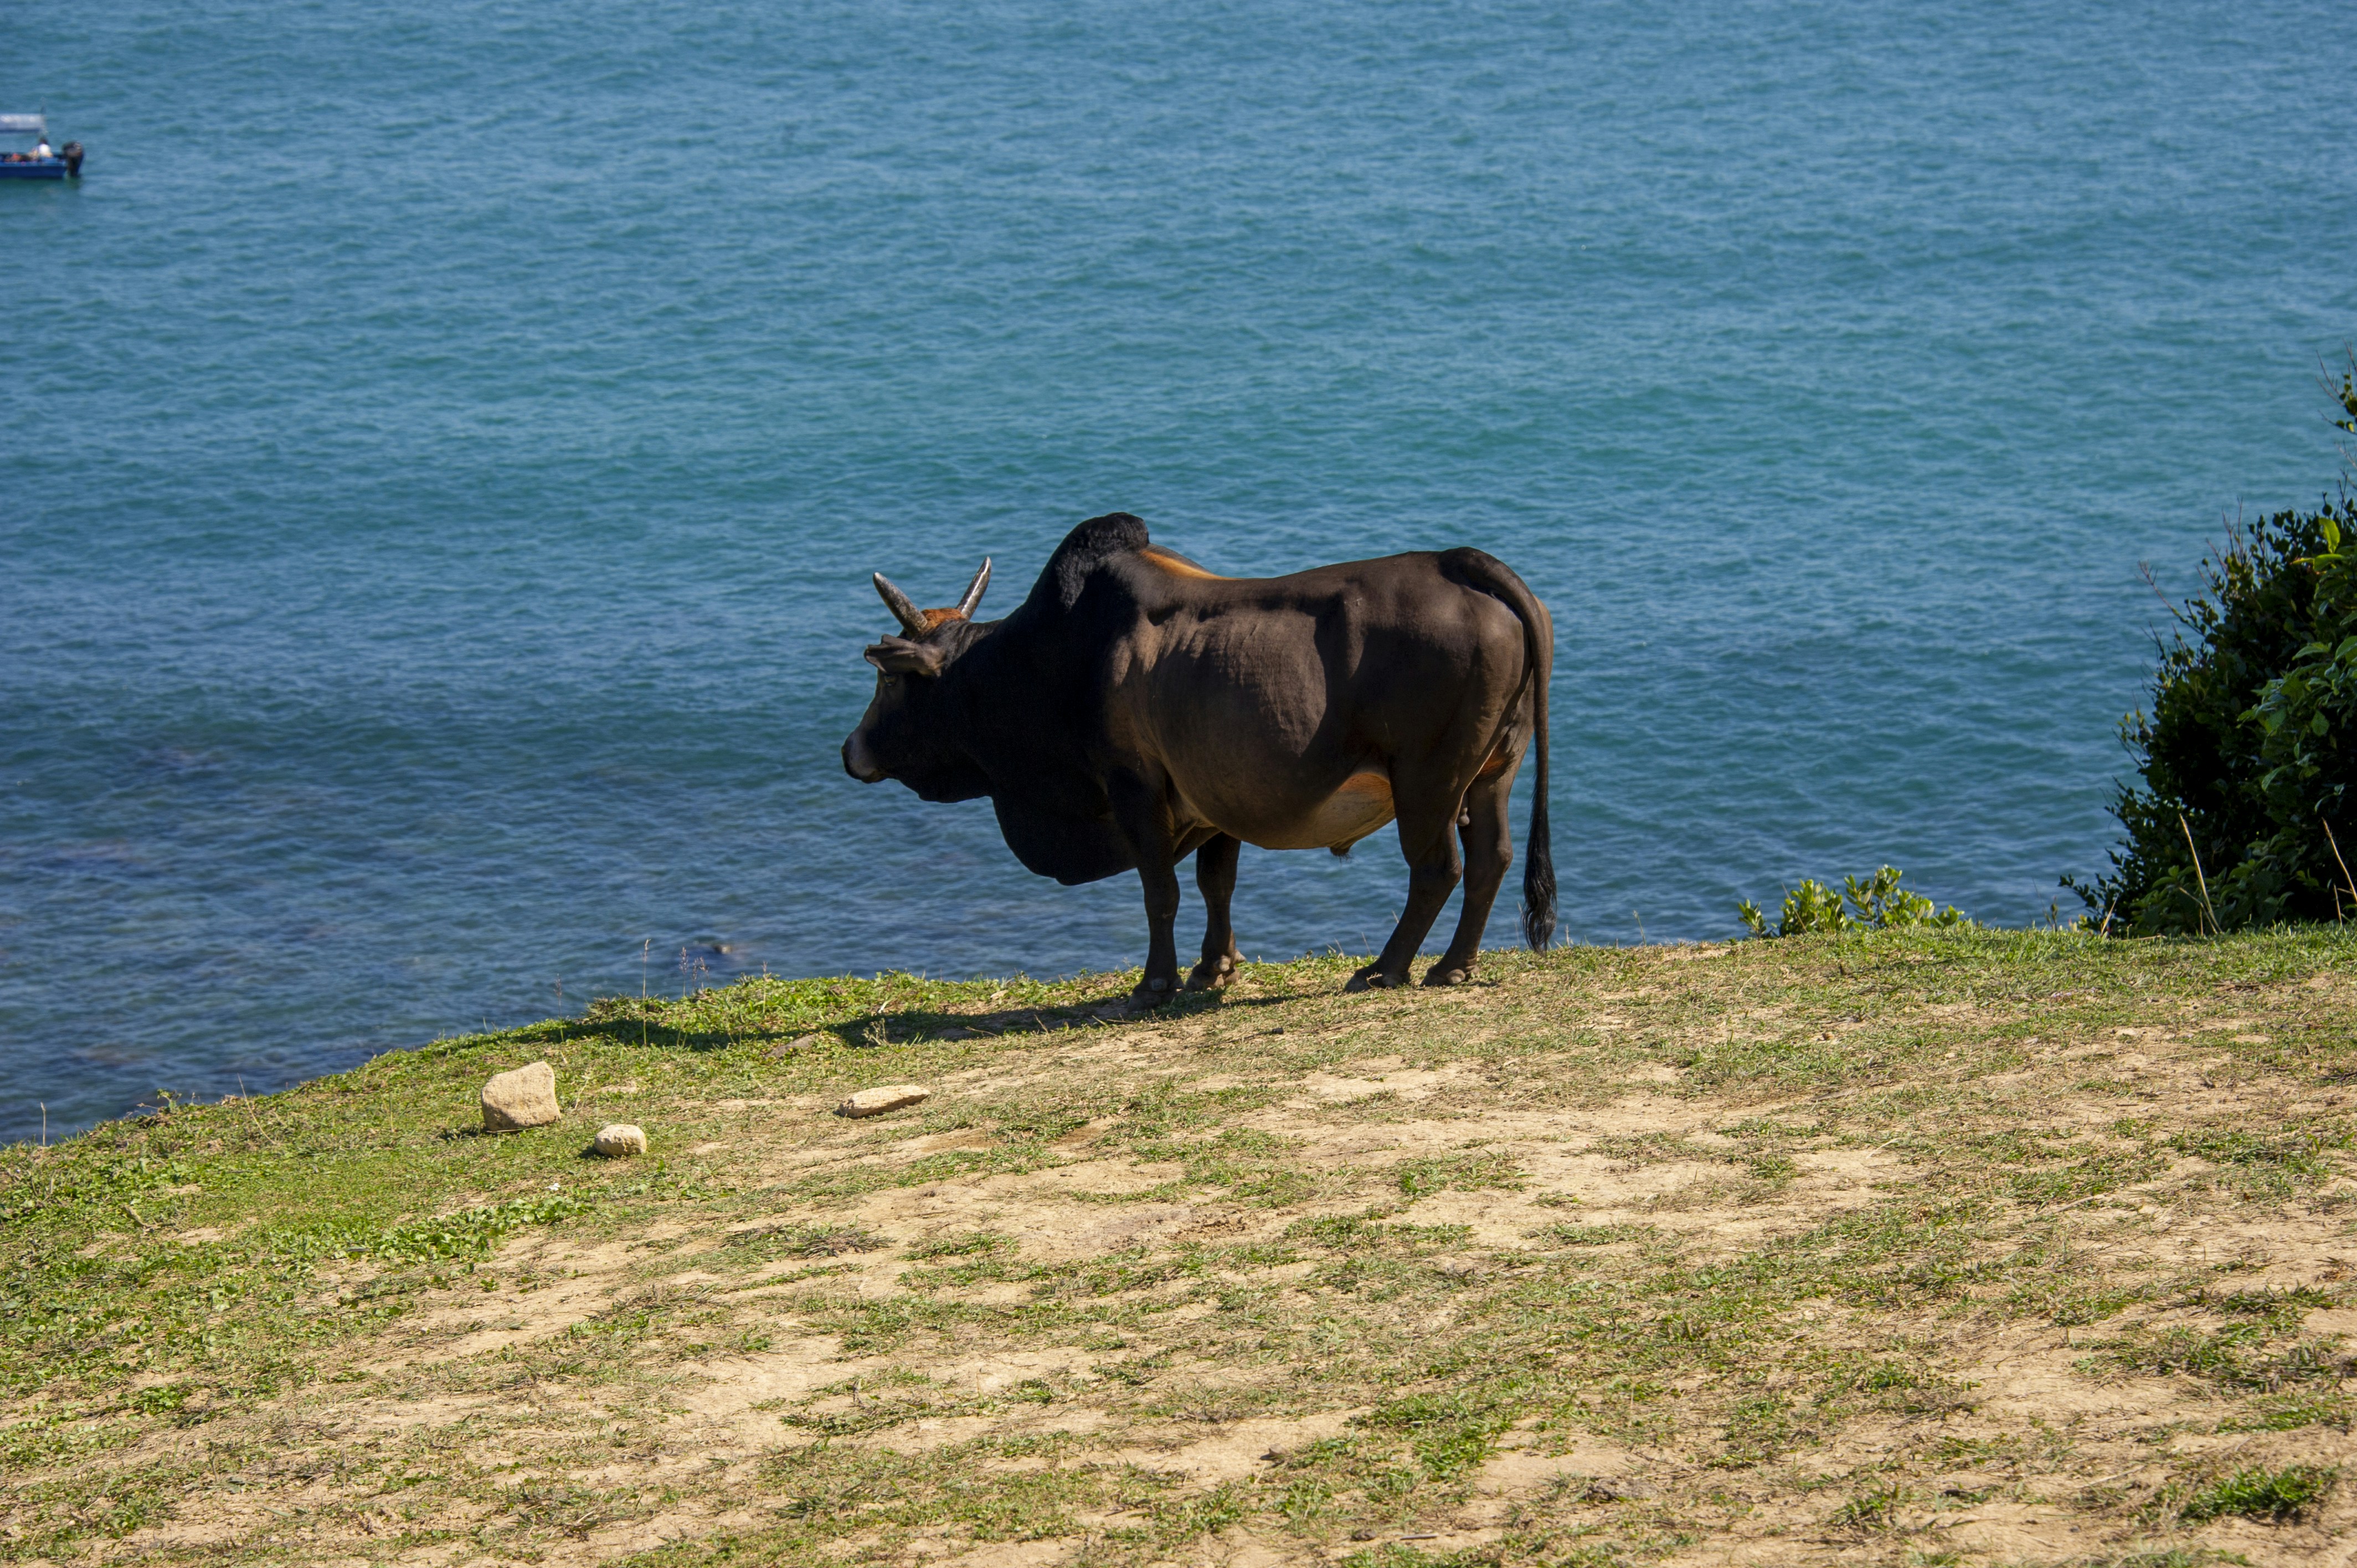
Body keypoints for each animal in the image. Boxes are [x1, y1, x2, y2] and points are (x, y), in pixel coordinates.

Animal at [841, 513, 1555, 998]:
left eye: (889, 683)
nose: (850, 751)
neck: (1046, 658)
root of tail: (1459, 563)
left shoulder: (1132, 785)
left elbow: (1160, 890)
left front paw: (1154, 984)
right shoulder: (1215, 794)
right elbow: (1217, 883)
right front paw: (1213, 968)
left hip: (1427, 779)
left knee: (1437, 868)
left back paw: (1386, 968)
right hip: (1491, 770)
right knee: (1490, 859)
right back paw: (1452, 966)